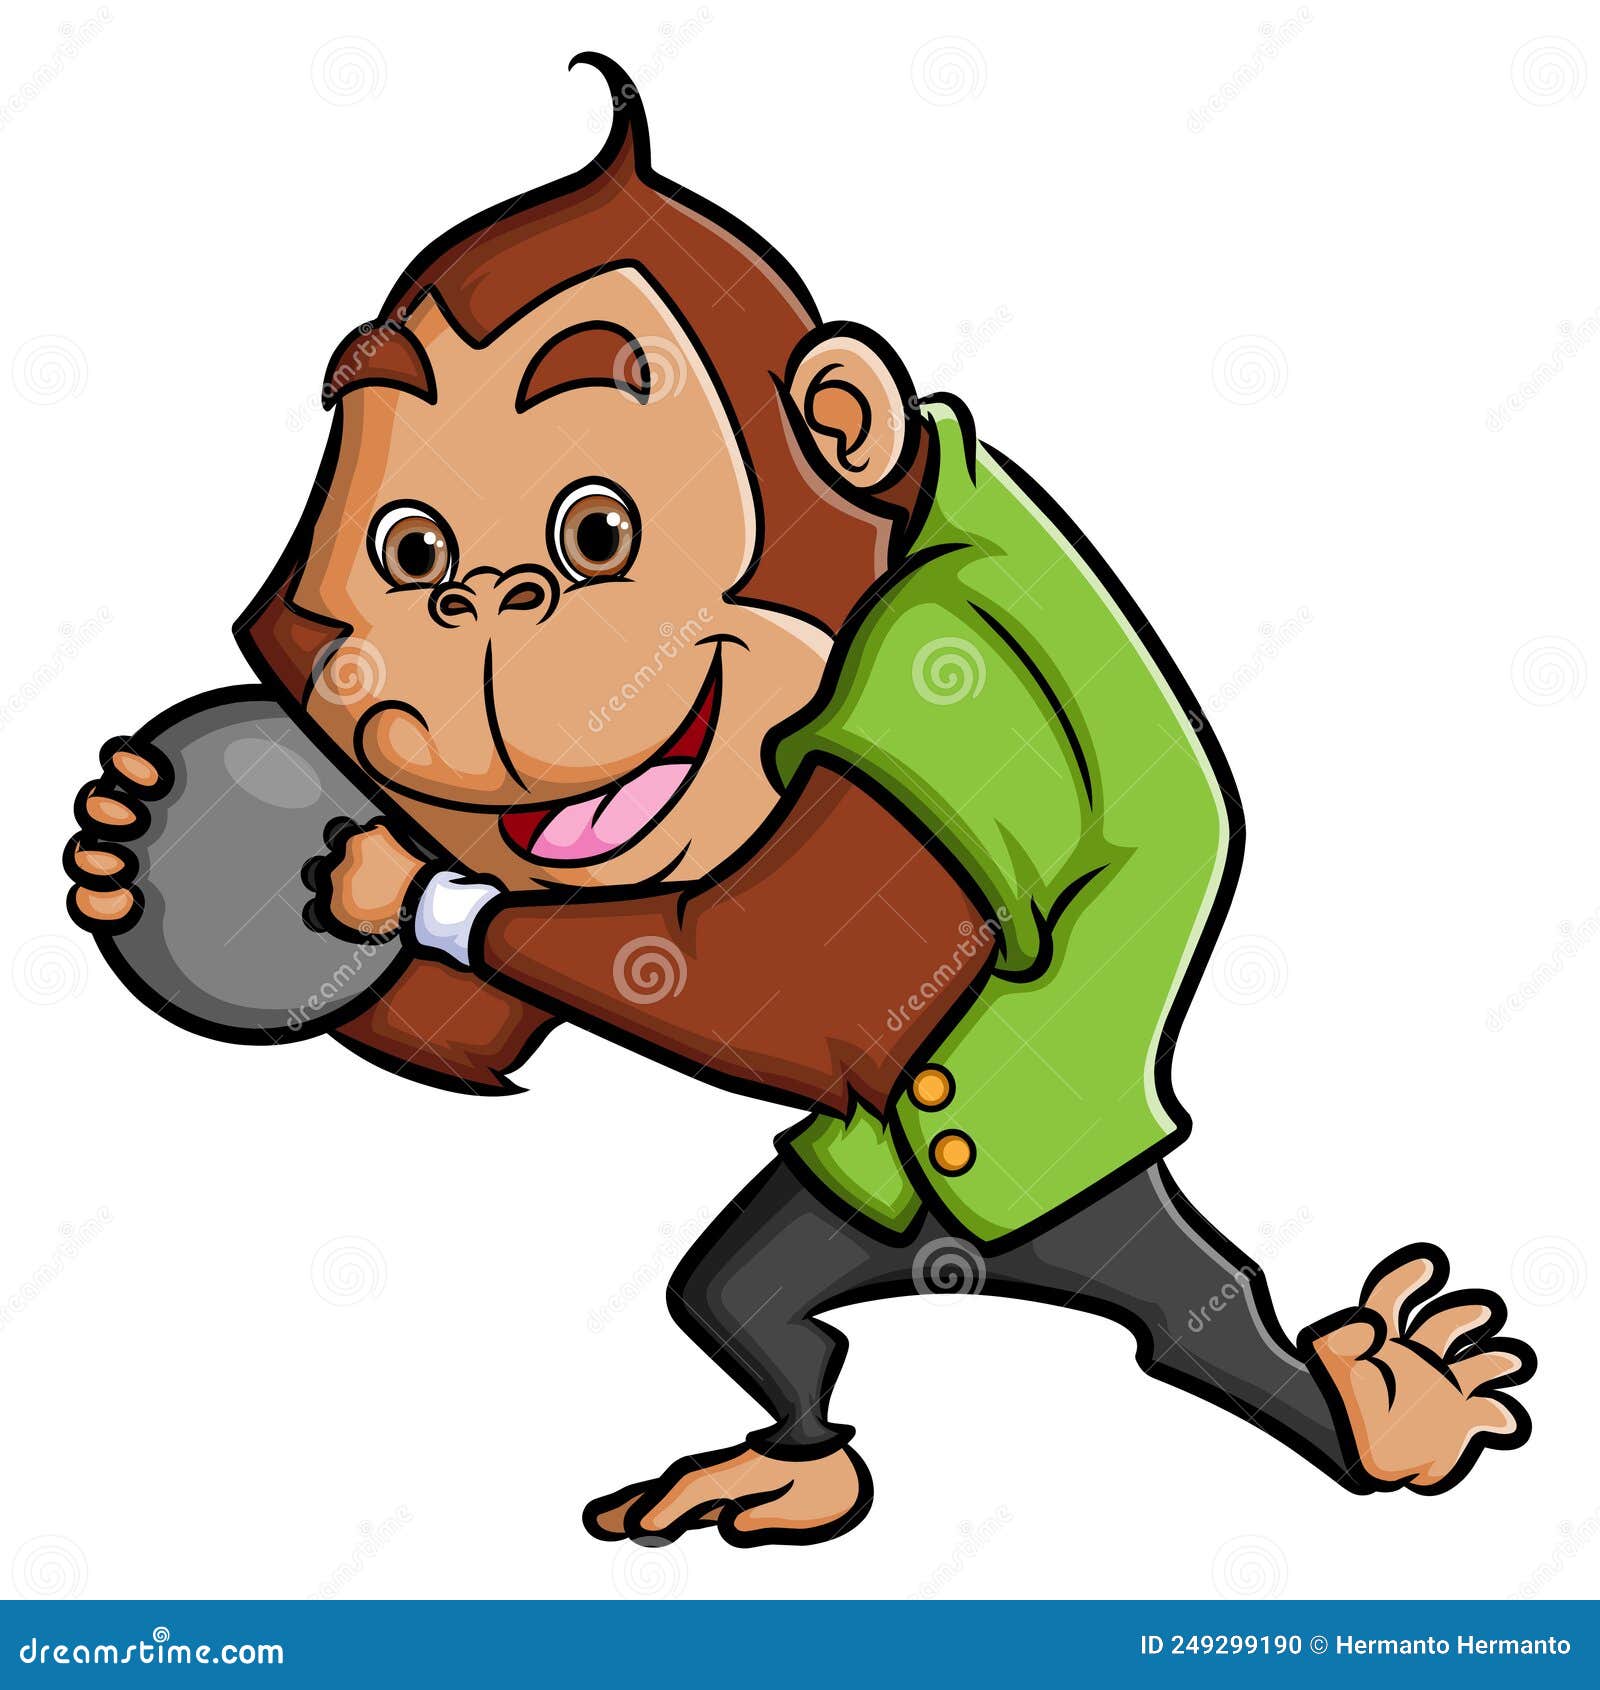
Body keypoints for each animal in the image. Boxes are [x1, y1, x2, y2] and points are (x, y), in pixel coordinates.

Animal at [66, 55, 1534, 1549]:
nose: (482, 599)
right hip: (854, 1203)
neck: (897, 542)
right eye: (410, 550)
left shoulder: (944, 696)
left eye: (597, 532)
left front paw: (386, 882)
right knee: (757, 1297)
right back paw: (796, 1465)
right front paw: (146, 855)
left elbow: (793, 973)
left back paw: (1387, 1409)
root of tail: (982, 1262)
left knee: (1190, 1312)